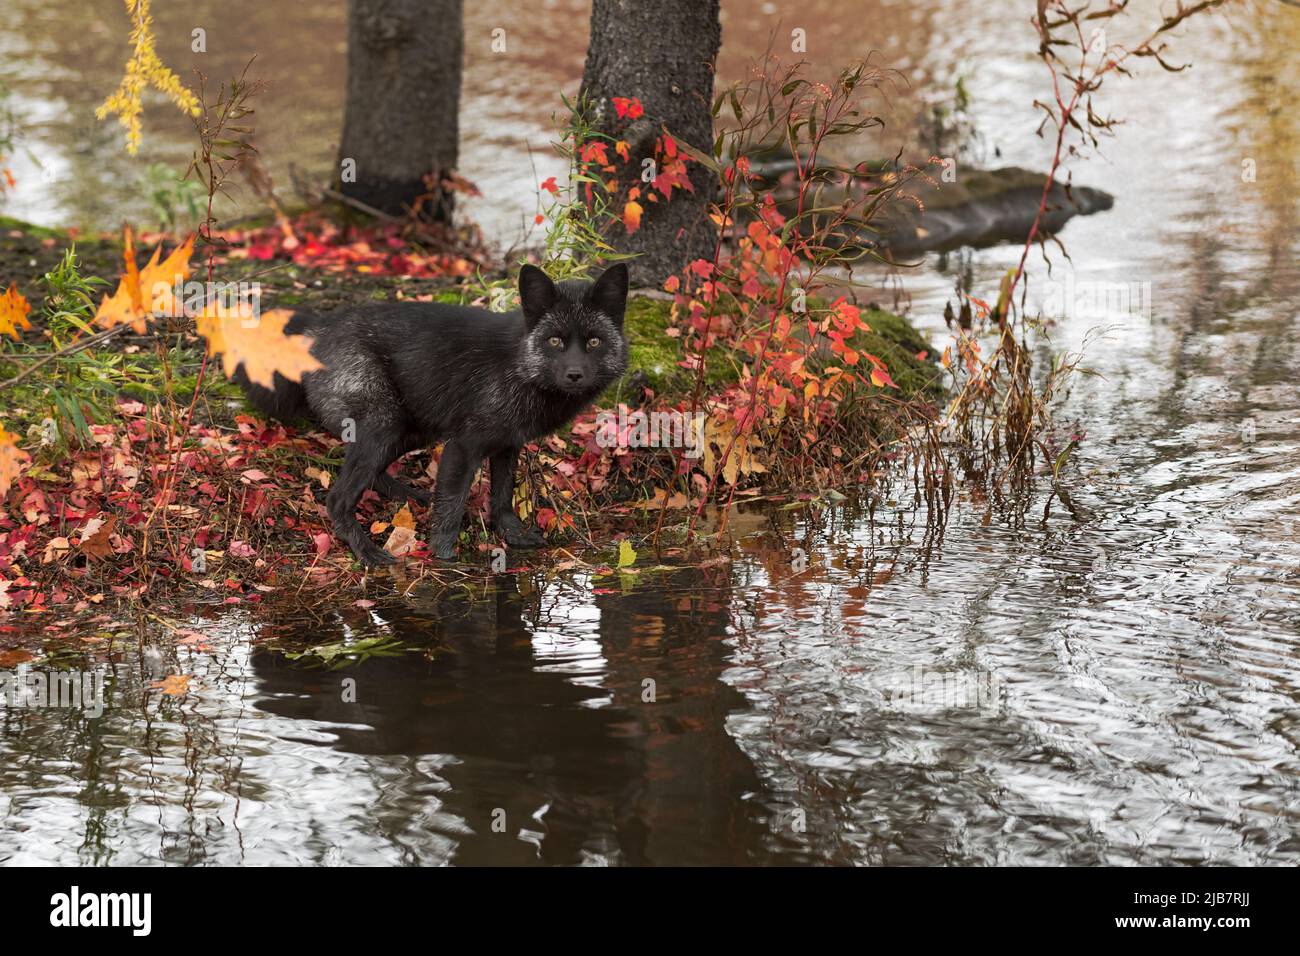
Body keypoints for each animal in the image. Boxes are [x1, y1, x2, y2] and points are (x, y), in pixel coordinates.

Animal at [236, 263, 630, 567]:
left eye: (594, 342)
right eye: (555, 341)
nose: (574, 375)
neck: (519, 365)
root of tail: (319, 326)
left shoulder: (507, 444)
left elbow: (502, 497)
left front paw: (512, 535)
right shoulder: (464, 445)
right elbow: (451, 508)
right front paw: (444, 558)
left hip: (411, 428)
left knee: (374, 475)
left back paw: (409, 496)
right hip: (385, 423)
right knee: (336, 498)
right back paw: (366, 552)